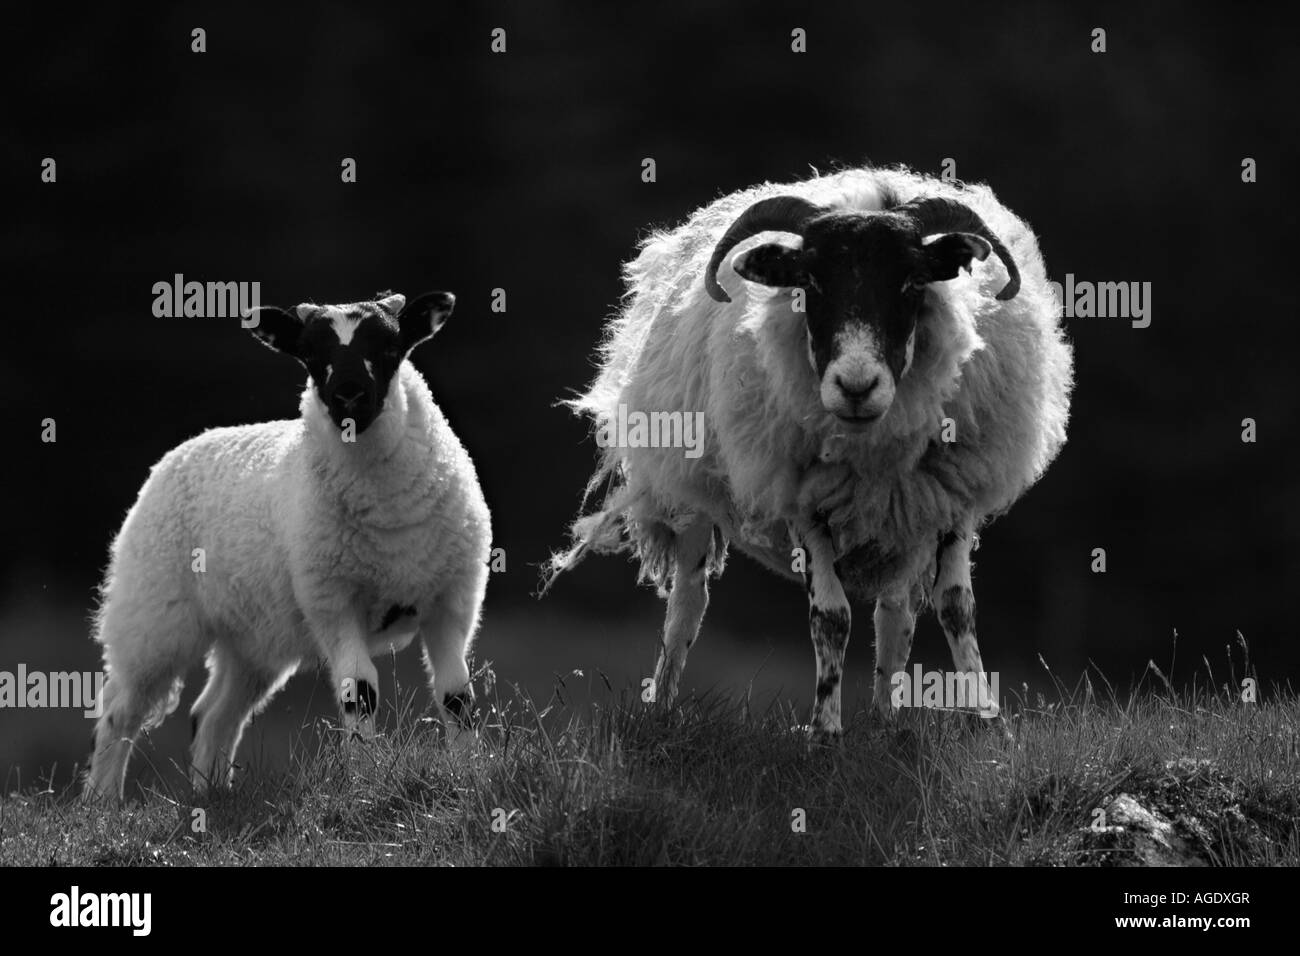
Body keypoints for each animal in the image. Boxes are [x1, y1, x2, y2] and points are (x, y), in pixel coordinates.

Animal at [85, 291, 492, 801]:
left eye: (389, 347)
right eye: (312, 355)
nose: (349, 394)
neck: (389, 517)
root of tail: (185, 447)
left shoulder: (453, 601)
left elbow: (456, 695)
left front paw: (470, 772)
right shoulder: (332, 603)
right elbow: (359, 689)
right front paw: (367, 779)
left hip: (251, 639)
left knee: (213, 715)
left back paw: (211, 797)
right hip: (151, 617)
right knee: (119, 711)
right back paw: (102, 802)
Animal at [545, 165, 1073, 739]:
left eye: (913, 282)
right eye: (811, 284)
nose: (856, 387)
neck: (872, 448)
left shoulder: (955, 500)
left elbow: (956, 609)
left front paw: (987, 720)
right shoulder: (804, 502)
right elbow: (832, 617)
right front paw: (824, 731)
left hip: (906, 518)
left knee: (896, 612)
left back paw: (886, 719)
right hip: (692, 491)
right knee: (688, 602)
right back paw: (661, 708)